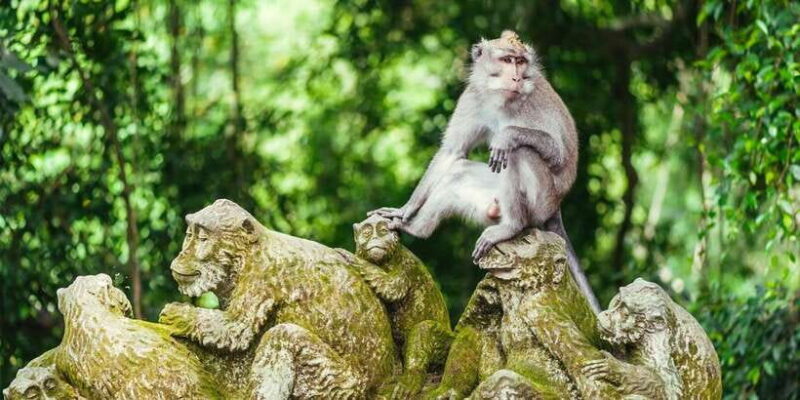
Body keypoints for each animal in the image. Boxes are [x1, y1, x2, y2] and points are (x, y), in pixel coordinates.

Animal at [369, 30, 600, 312]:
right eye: (508, 59)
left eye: (521, 62)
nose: (516, 77)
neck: (502, 98)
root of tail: (557, 207)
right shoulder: (473, 98)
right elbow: (452, 152)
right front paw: (404, 210)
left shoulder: (533, 102)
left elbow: (558, 154)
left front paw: (507, 135)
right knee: (457, 172)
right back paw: (415, 228)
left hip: (541, 203)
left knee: (519, 152)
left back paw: (511, 226)